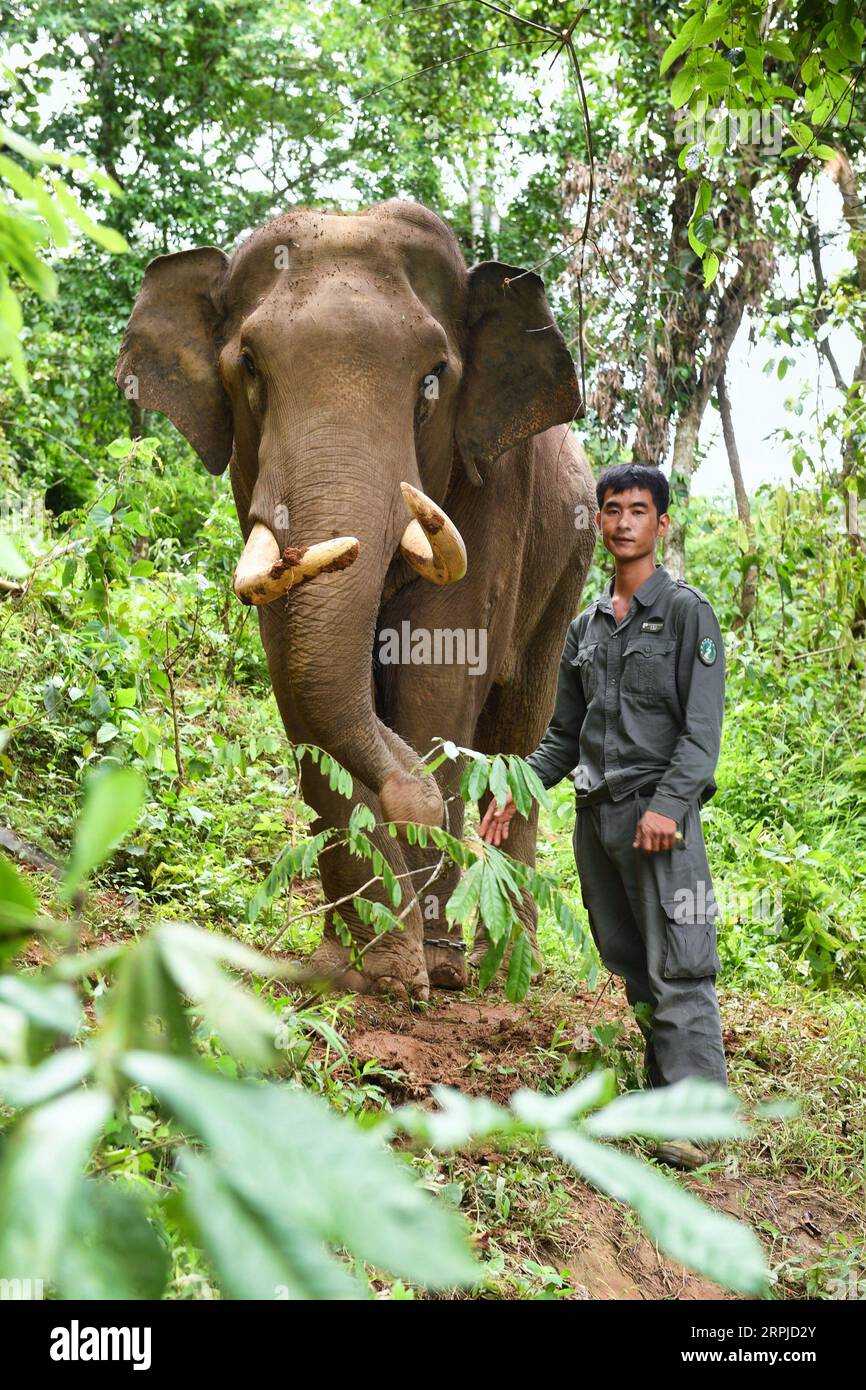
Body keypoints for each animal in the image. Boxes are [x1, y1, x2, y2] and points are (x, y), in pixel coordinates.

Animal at [116, 198, 597, 1002]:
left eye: (434, 379)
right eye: (250, 367)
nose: (412, 796)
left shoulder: (497, 487)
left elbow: (439, 678)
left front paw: (425, 971)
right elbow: (297, 680)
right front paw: (364, 971)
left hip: (571, 567)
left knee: (516, 741)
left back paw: (496, 965)